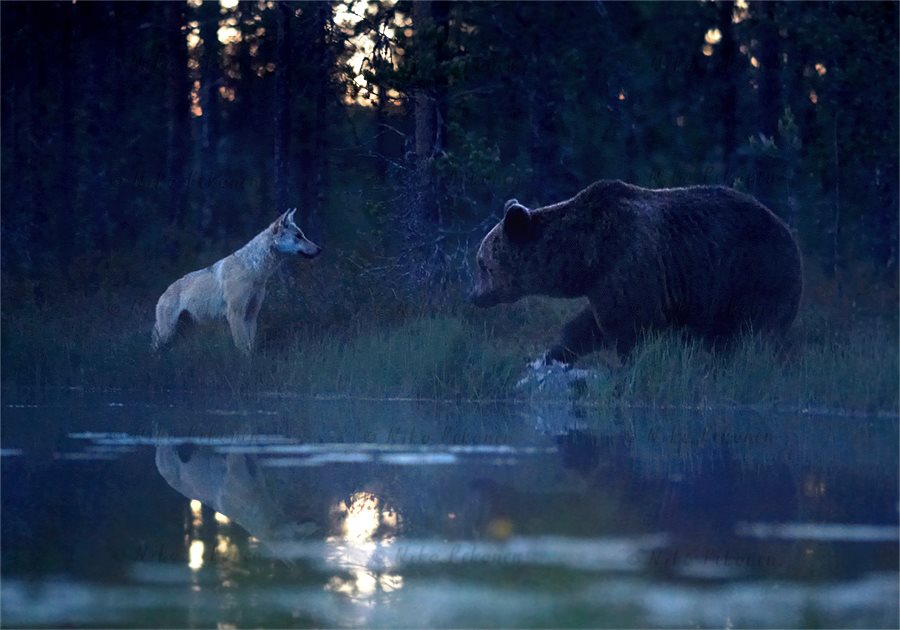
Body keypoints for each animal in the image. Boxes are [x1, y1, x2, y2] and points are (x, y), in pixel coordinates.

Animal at [151, 208, 321, 355]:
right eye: (298, 236)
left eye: (303, 235)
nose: (320, 249)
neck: (254, 271)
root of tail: (163, 293)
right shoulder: (235, 314)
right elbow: (242, 347)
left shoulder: (251, 316)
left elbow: (250, 346)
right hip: (166, 333)